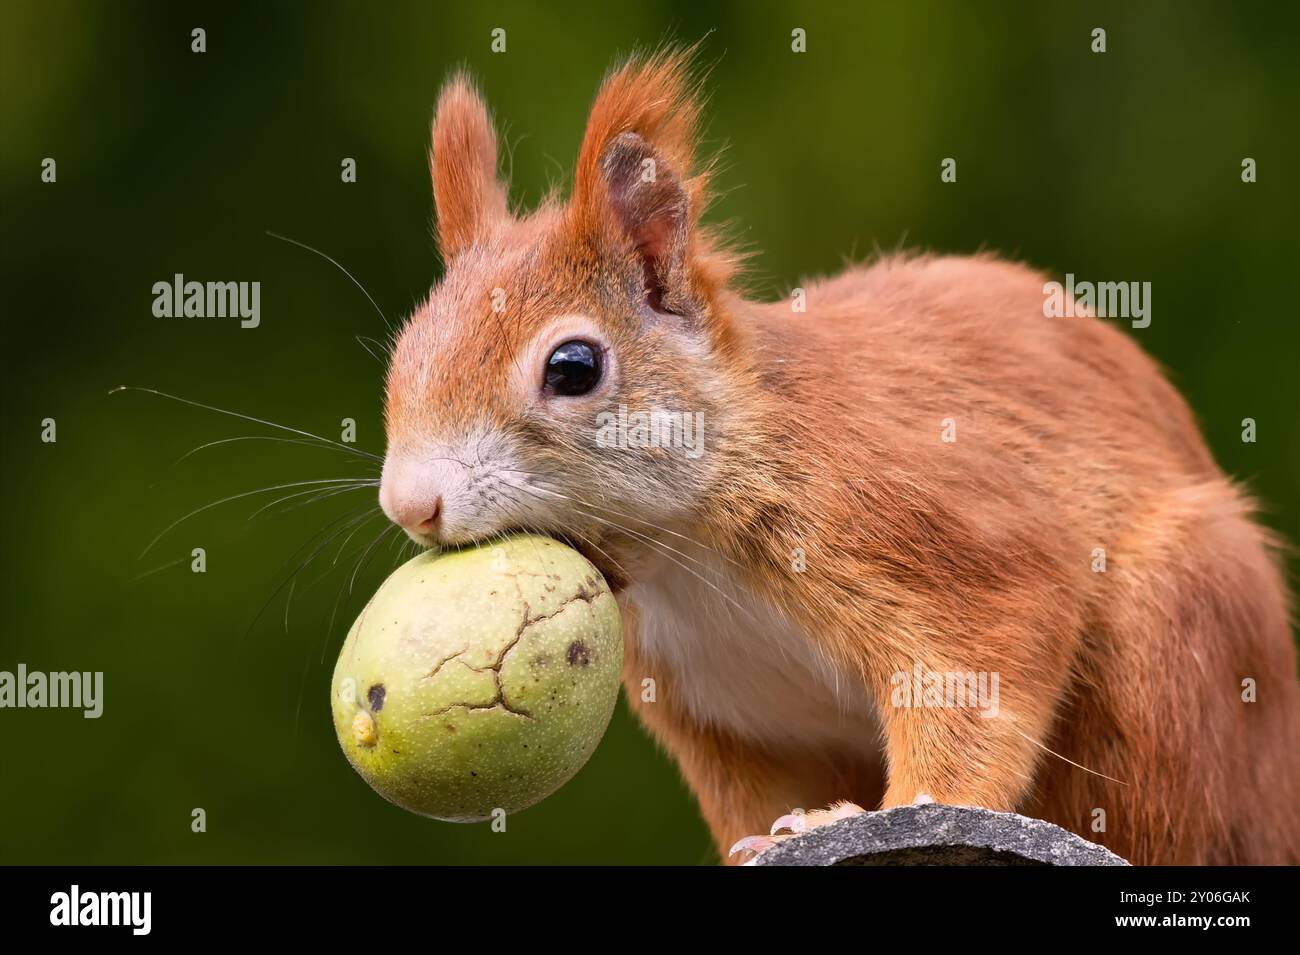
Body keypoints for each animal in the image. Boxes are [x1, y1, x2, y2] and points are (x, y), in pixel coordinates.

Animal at [378, 49, 1300, 865]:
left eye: (573, 368)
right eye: (404, 350)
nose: (410, 504)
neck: (682, 548)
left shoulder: (923, 525)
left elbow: (987, 664)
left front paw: (872, 814)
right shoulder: (720, 714)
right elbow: (754, 793)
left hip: (1177, 643)